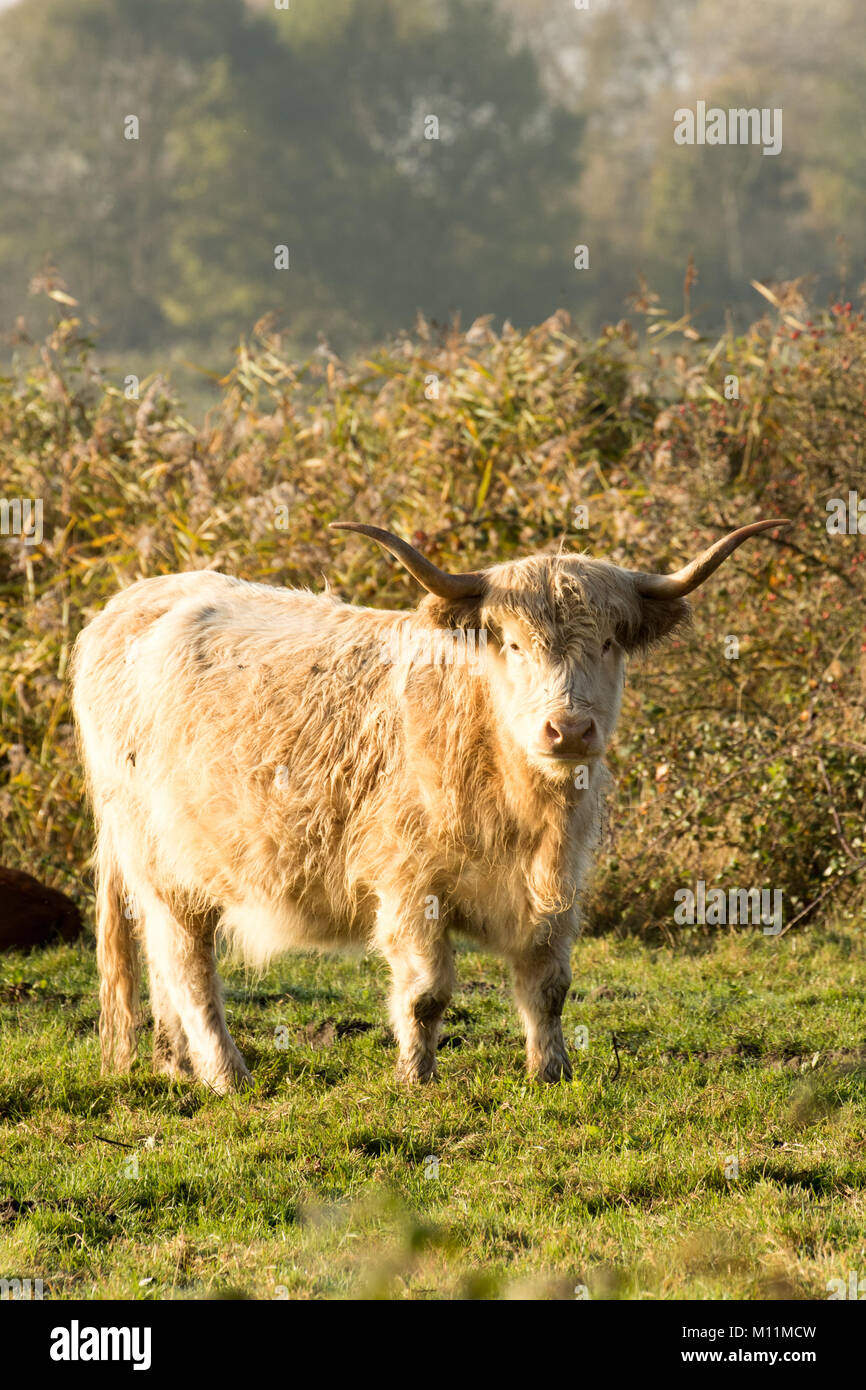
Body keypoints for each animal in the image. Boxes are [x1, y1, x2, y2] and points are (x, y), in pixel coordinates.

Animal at [70, 517, 787, 1091]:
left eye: (609, 642)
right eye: (513, 642)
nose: (569, 730)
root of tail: (129, 603)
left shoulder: (560, 892)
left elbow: (549, 987)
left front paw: (551, 1072)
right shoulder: (411, 884)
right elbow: (425, 994)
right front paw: (416, 1078)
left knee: (166, 967)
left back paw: (176, 1066)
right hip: (161, 863)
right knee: (188, 968)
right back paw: (227, 1075)